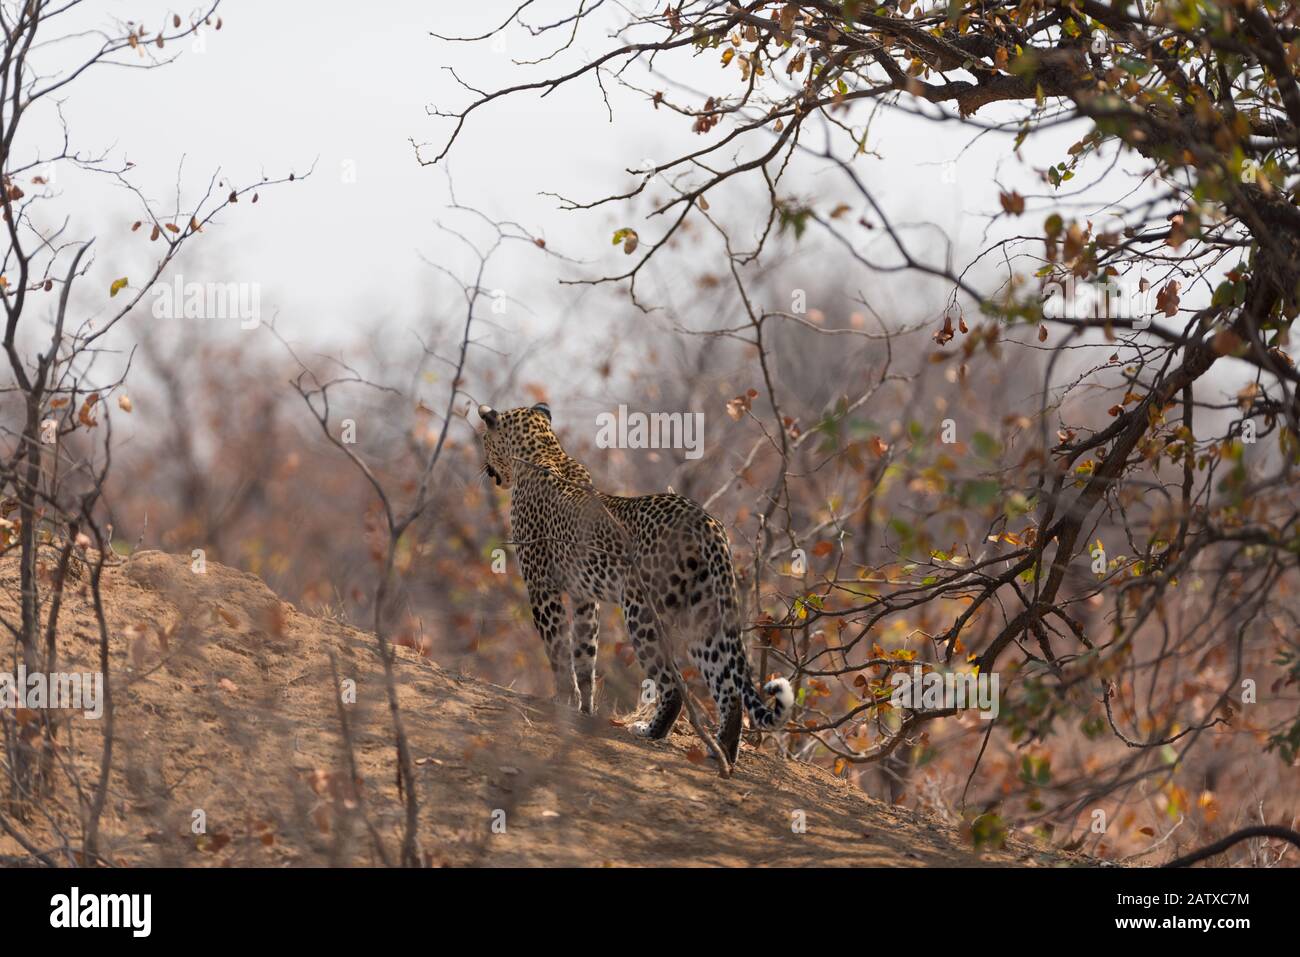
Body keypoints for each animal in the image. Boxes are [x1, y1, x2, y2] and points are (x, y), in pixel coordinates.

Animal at [476, 401, 794, 765]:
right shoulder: (585, 598)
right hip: (704, 612)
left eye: (484, 439)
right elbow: (584, 654)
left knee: (673, 685)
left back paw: (650, 731)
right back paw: (722, 754)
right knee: (728, 688)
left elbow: (558, 650)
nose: (486, 469)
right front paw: (584, 709)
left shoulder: (542, 586)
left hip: (641, 611)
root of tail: (706, 522)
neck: (544, 449)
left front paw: (562, 702)